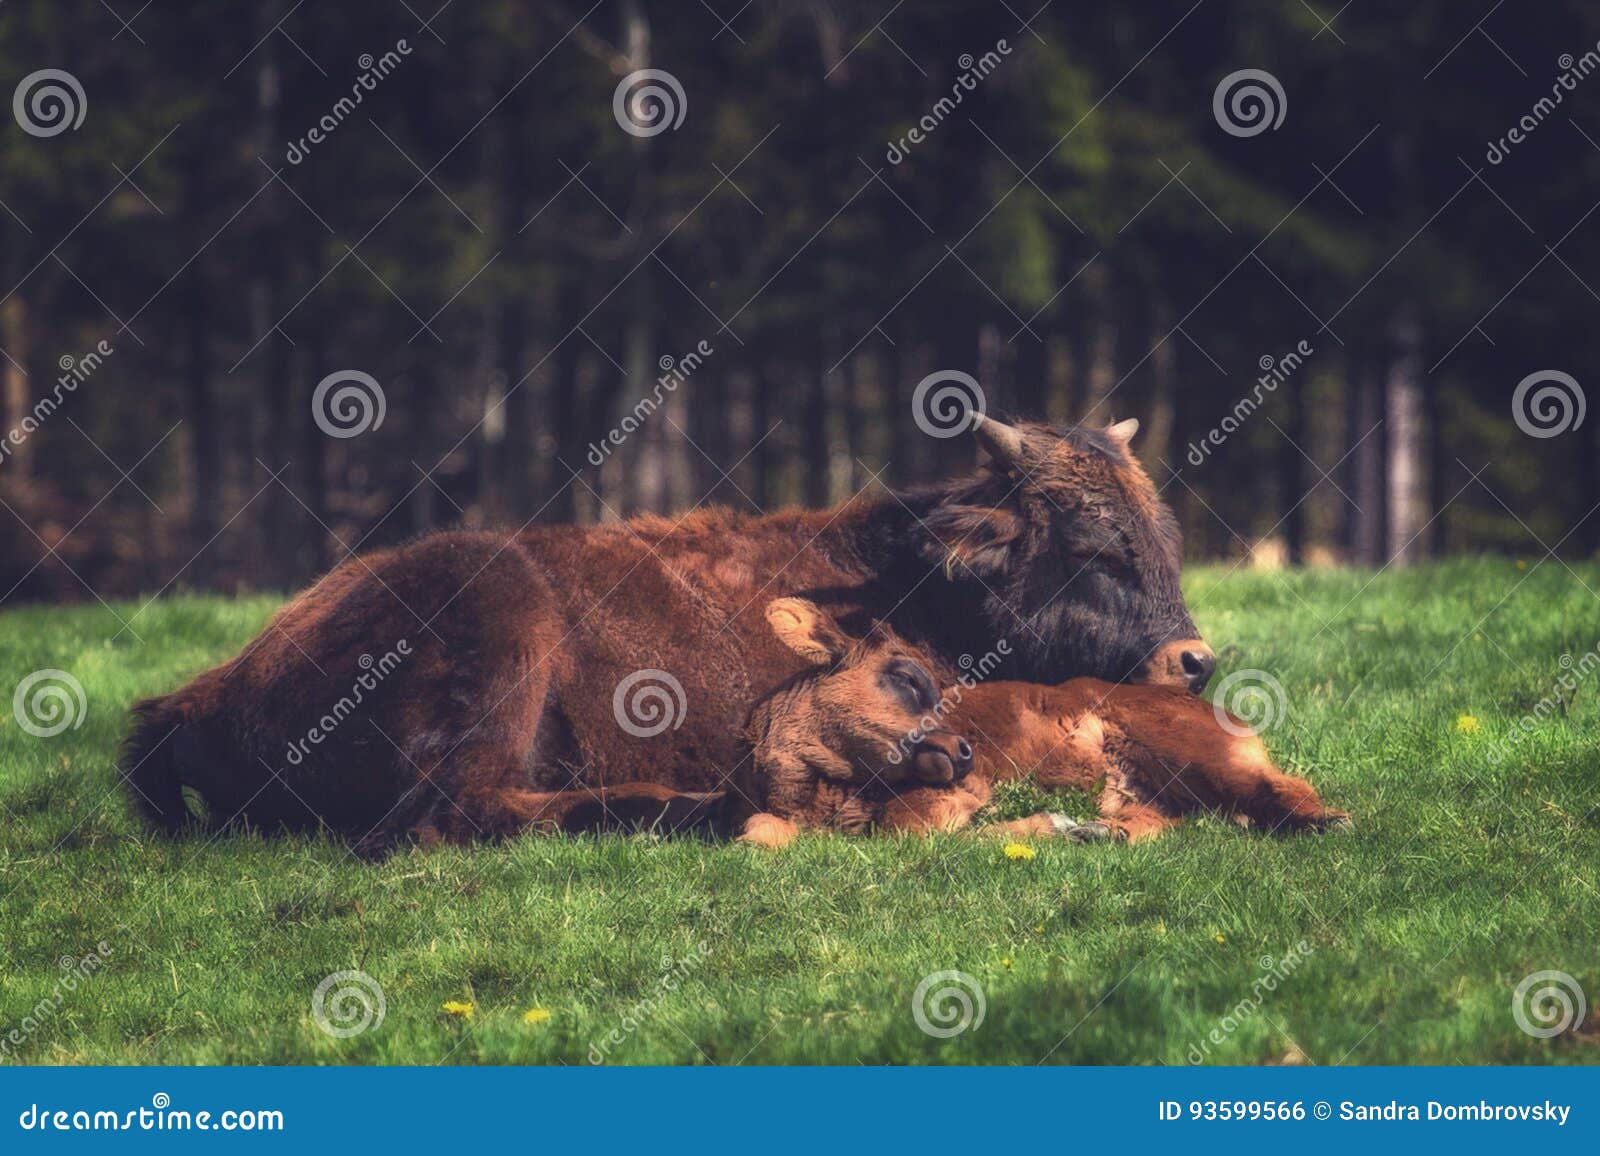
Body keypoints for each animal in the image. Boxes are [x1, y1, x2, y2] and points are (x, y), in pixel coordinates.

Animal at [121, 416, 1215, 856]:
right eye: (1093, 547)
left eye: (1164, 538)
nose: (1193, 662)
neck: (914, 574)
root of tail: (202, 692)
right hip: (503, 634)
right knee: (452, 816)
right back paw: (683, 807)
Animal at [733, 597, 1348, 847]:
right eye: (906, 677)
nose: (964, 750)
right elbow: (757, 835)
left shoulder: (952, 795)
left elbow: (912, 829)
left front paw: (1045, 824)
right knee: (1162, 821)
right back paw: (1100, 831)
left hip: (1197, 749)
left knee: (1279, 785)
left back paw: (1329, 822)